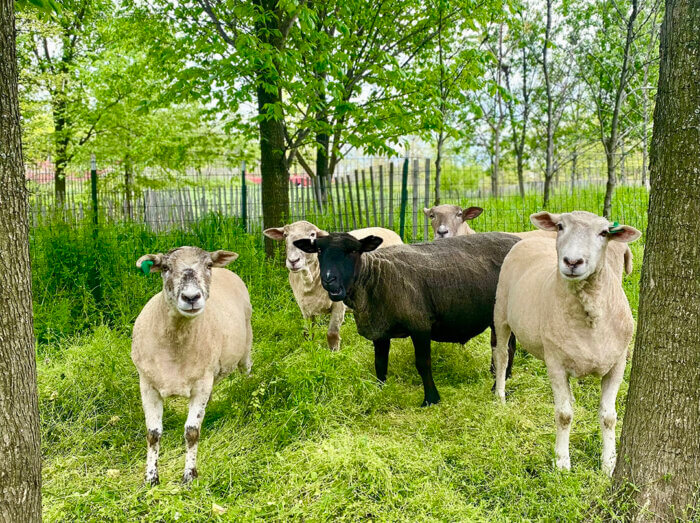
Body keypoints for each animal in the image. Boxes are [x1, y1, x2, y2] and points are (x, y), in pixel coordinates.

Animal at [131, 246, 252, 485]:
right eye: (165, 267)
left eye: (208, 265)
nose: (191, 297)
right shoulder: (147, 385)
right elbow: (153, 434)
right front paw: (151, 478)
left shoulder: (201, 385)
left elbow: (192, 432)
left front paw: (189, 476)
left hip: (246, 345)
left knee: (247, 371)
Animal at [263, 221, 402, 350]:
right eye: (285, 235)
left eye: (312, 234)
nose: (293, 261)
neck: (310, 279)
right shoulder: (304, 308)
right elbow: (308, 333)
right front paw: (310, 351)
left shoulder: (338, 305)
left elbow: (332, 334)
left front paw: (334, 353)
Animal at [293, 232, 521, 406]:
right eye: (319, 251)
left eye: (353, 251)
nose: (329, 280)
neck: (374, 277)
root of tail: (518, 239)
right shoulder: (380, 330)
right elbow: (380, 363)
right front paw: (380, 390)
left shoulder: (419, 325)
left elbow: (423, 363)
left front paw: (431, 399)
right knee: (509, 348)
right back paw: (504, 376)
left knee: (504, 350)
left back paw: (496, 386)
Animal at [492, 211, 641, 476]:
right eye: (560, 226)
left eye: (604, 233)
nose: (572, 261)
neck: (590, 315)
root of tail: (529, 239)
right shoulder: (555, 363)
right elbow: (563, 416)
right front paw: (562, 462)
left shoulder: (617, 364)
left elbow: (609, 416)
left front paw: (609, 463)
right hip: (500, 313)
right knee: (501, 356)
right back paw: (500, 395)